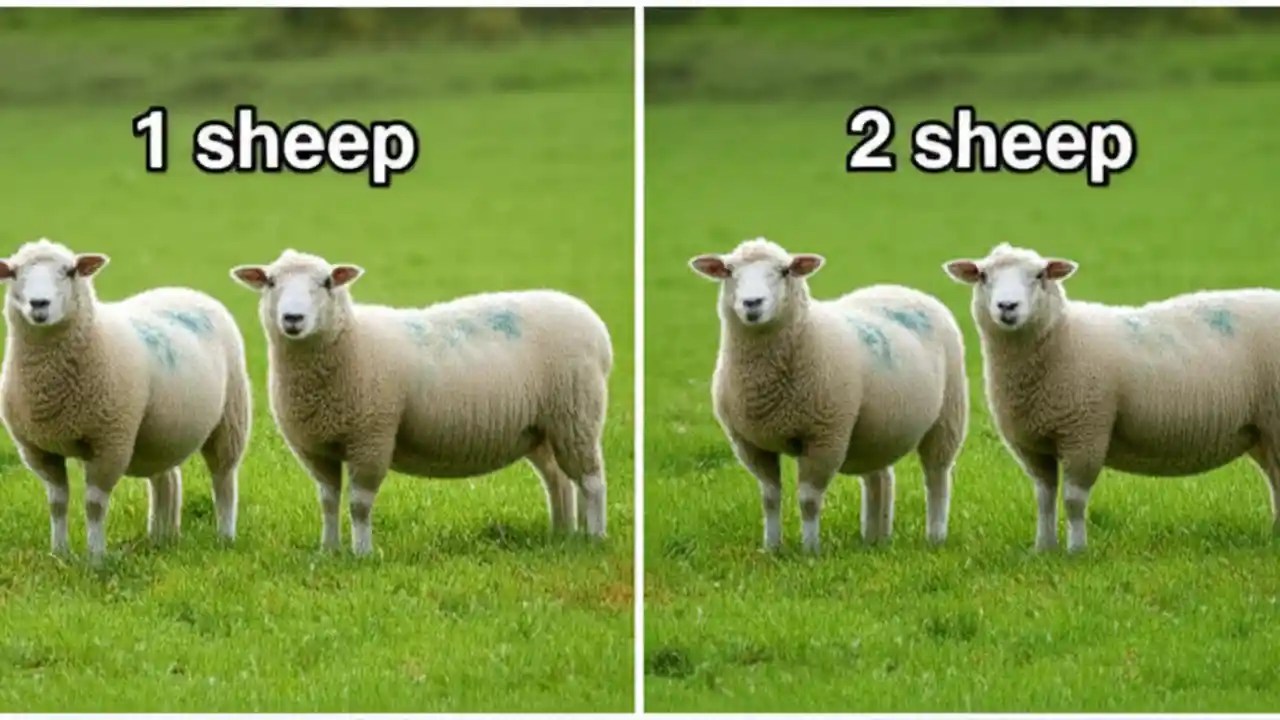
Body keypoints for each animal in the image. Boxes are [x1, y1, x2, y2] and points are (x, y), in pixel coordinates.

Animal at [0, 239, 249, 559]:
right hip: (160, 432)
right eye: (14, 273)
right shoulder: (38, 449)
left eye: (70, 271)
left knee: (224, 478)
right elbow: (57, 503)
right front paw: (60, 554)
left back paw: (225, 537)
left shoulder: (110, 440)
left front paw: (96, 558)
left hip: (231, 415)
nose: (39, 304)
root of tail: (184, 290)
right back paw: (161, 538)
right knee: (166, 480)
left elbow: (94, 504)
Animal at [230, 249, 612, 555]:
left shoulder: (372, 436)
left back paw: (594, 538)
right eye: (270, 282)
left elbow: (359, 505)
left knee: (591, 480)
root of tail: (596, 326)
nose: (293, 319)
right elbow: (327, 501)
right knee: (559, 480)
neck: (351, 343)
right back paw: (564, 534)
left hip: (577, 414)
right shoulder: (315, 447)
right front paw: (328, 550)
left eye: (327, 283)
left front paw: (362, 554)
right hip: (542, 429)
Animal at [689, 238, 968, 553]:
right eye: (728, 271)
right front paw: (772, 548)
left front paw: (810, 550)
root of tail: (902, 289)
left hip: (948, 414)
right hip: (876, 428)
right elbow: (770, 497)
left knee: (937, 476)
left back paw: (935, 537)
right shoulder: (750, 443)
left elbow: (808, 500)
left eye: (785, 271)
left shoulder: (824, 435)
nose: (752, 303)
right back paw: (875, 539)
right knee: (880, 478)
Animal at [944, 242, 1280, 552]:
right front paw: (1043, 549)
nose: (1007, 306)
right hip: (1259, 431)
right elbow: (1044, 497)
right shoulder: (1032, 444)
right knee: (1275, 478)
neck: (1062, 339)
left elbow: (1073, 499)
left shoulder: (1085, 431)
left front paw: (1076, 552)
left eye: (1040, 275)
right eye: (983, 276)